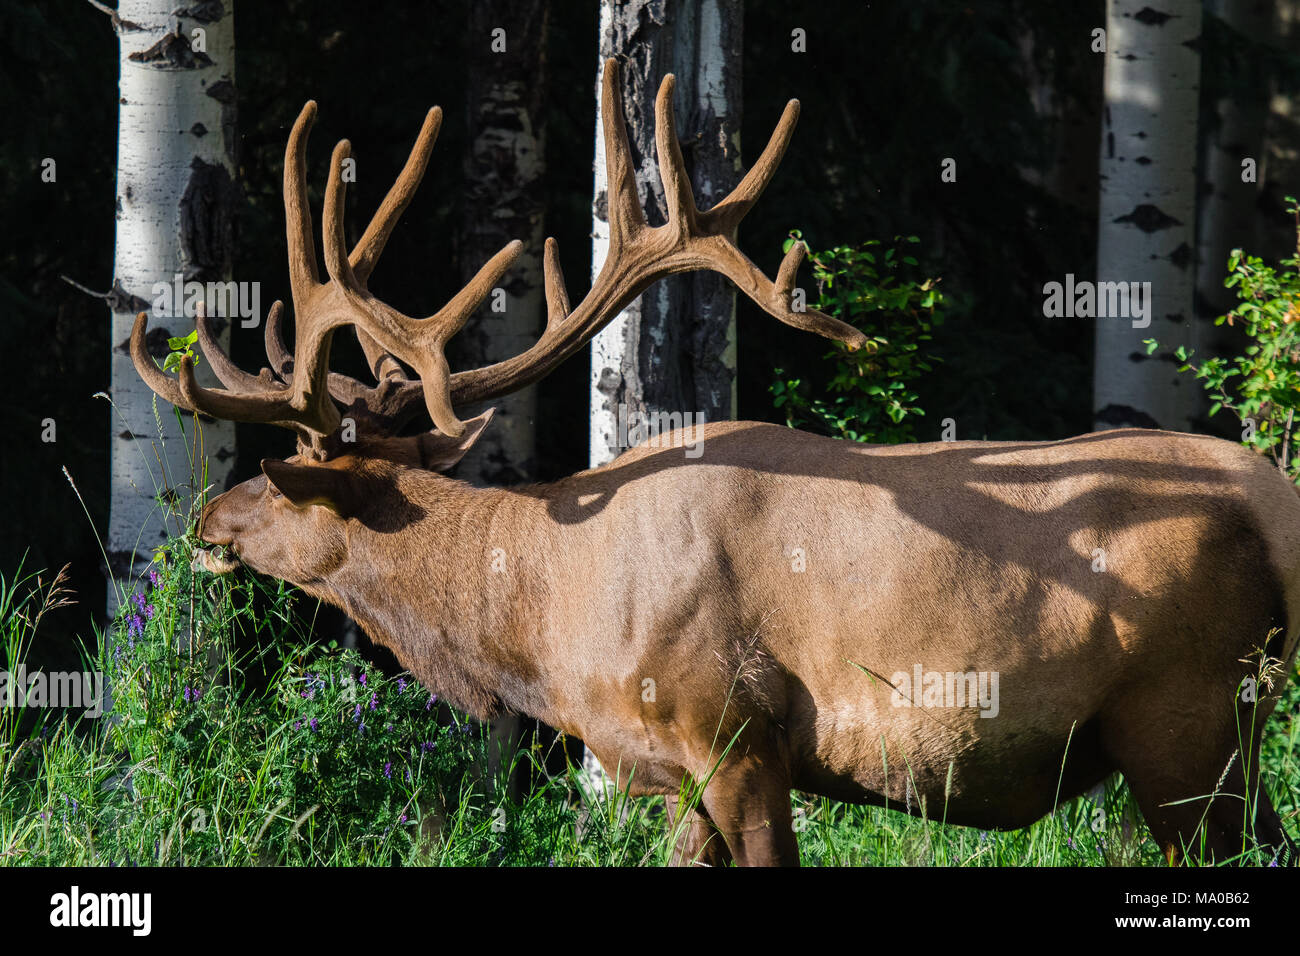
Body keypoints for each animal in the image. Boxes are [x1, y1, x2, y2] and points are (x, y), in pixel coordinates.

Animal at [128, 58, 1300, 867]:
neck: (544, 616)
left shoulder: (733, 732)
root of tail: (1277, 501)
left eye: (287, 474)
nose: (206, 521)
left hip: (1183, 715)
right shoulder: (675, 776)